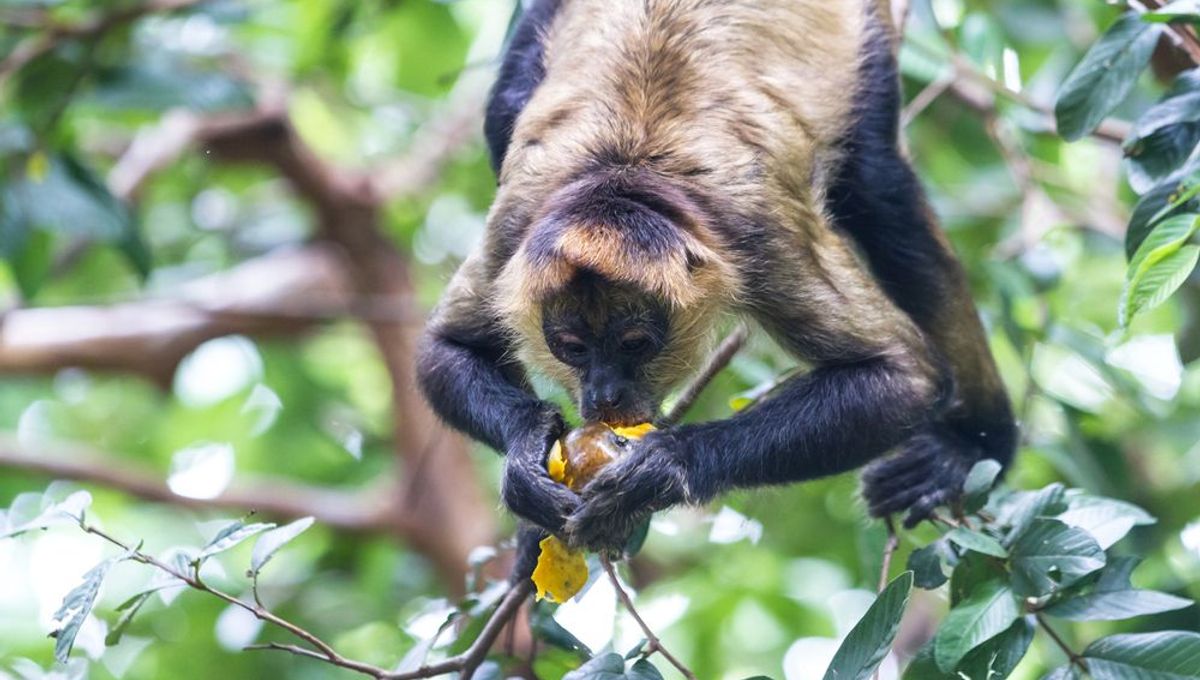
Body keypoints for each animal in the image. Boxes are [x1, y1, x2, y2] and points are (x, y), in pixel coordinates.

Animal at [416, 0, 1016, 558]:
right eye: (572, 348)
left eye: (635, 343)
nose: (605, 394)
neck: (625, 165)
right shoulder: (518, 229)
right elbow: (442, 351)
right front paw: (526, 456)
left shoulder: (758, 232)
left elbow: (903, 376)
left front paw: (665, 468)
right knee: (503, 111)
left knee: (880, 188)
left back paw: (973, 446)